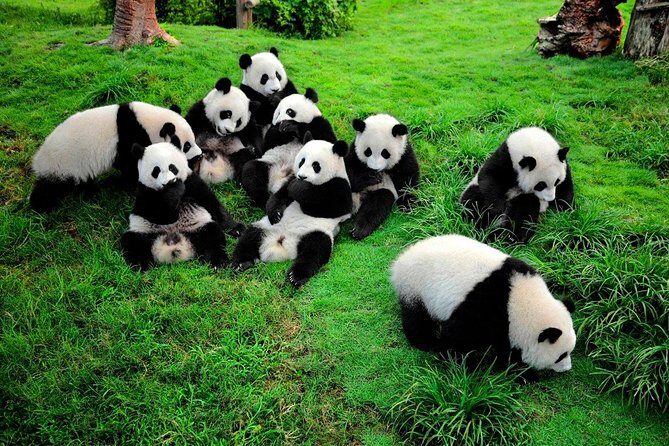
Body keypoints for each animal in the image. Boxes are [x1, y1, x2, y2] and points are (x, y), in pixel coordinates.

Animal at [30, 101, 203, 213]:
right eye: (186, 146)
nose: (200, 155)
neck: (147, 122)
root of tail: (38, 160)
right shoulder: (129, 136)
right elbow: (131, 165)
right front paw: (129, 185)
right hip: (64, 164)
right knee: (50, 187)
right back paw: (40, 205)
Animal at [121, 142, 228, 270]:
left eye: (172, 167)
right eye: (155, 171)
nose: (167, 182)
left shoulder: (191, 181)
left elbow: (209, 201)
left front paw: (235, 229)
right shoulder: (144, 192)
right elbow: (160, 215)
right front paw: (174, 191)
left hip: (197, 227)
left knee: (212, 236)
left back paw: (217, 261)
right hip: (144, 231)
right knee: (133, 242)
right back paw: (141, 265)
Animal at [232, 137, 352, 287]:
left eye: (316, 165)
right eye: (302, 161)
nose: (302, 176)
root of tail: (282, 243)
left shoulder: (341, 186)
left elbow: (328, 206)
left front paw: (298, 188)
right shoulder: (289, 179)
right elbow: (280, 196)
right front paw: (275, 213)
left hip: (315, 232)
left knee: (315, 251)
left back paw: (296, 276)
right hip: (265, 226)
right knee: (250, 237)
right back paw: (242, 263)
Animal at [391, 234, 576, 375]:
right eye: (561, 355)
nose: (567, 368)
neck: (519, 299)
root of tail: (400, 261)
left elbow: (505, 345)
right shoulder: (485, 307)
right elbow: (456, 336)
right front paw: (460, 364)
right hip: (415, 286)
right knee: (416, 318)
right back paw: (426, 342)